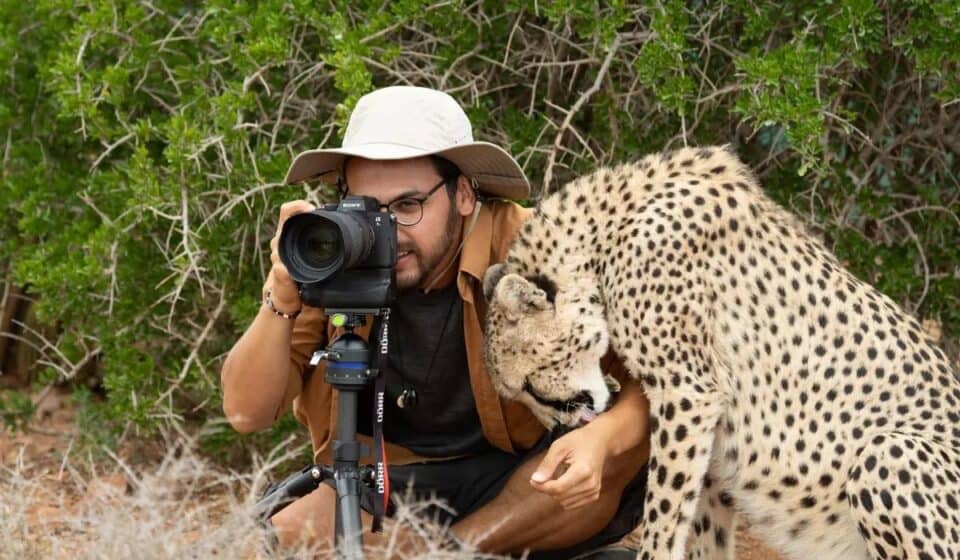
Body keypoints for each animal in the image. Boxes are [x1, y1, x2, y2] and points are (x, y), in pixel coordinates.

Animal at [481, 145, 960, 560]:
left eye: (528, 386)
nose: (559, 428)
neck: (606, 233)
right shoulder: (714, 442)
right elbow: (702, 529)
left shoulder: (687, 392)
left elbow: (663, 514)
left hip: (888, 453)